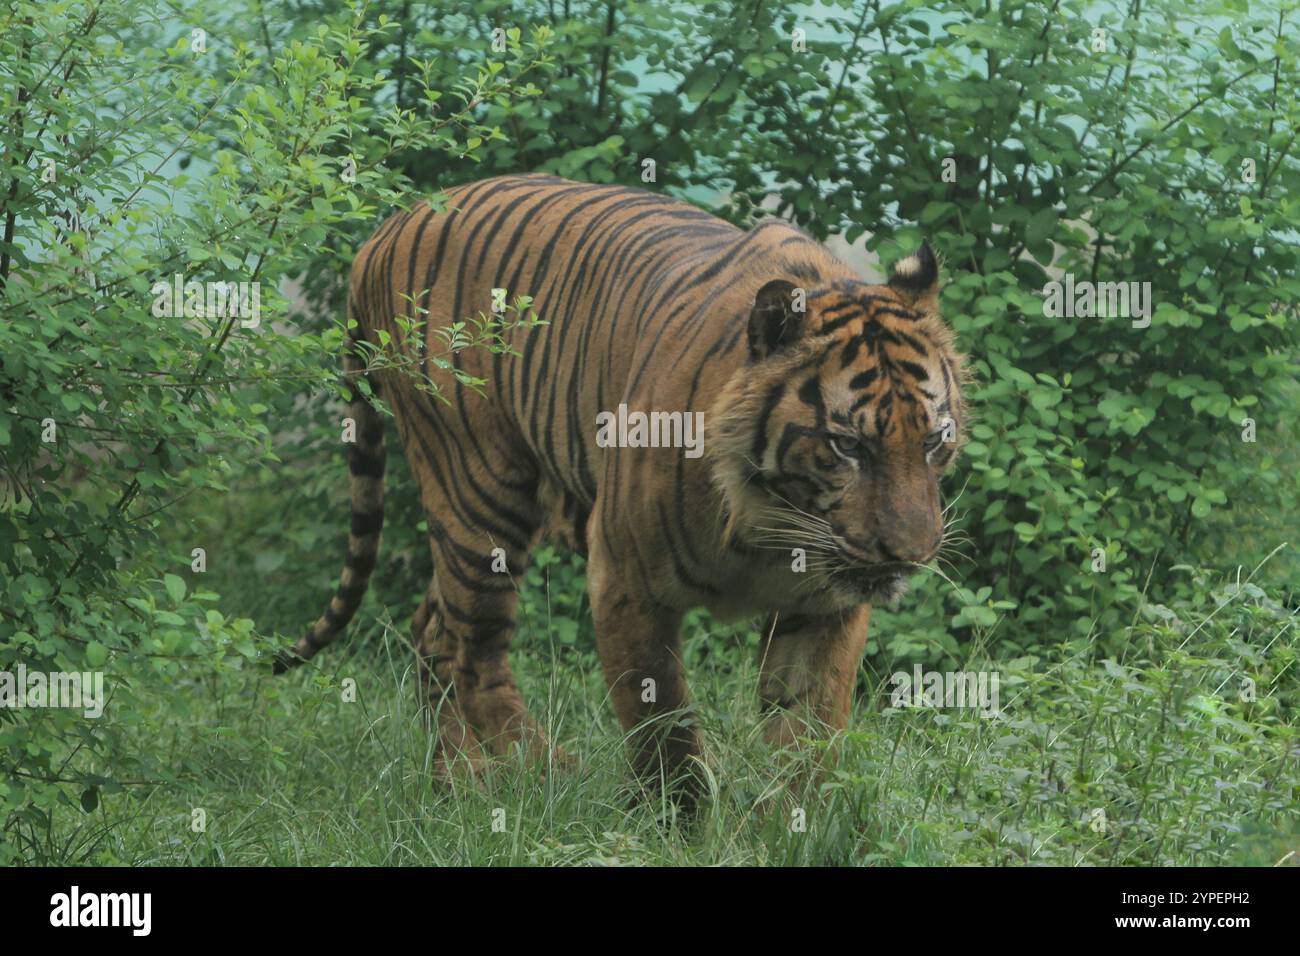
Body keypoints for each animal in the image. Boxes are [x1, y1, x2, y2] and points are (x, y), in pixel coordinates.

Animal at [274, 173, 967, 801]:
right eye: (849, 446)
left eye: (934, 439)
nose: (913, 554)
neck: (773, 519)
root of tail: (383, 229)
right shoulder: (625, 578)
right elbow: (664, 726)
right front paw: (681, 827)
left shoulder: (825, 602)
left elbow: (808, 732)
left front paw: (794, 824)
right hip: (479, 492)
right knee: (477, 654)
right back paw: (536, 776)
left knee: (433, 630)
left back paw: (456, 783)